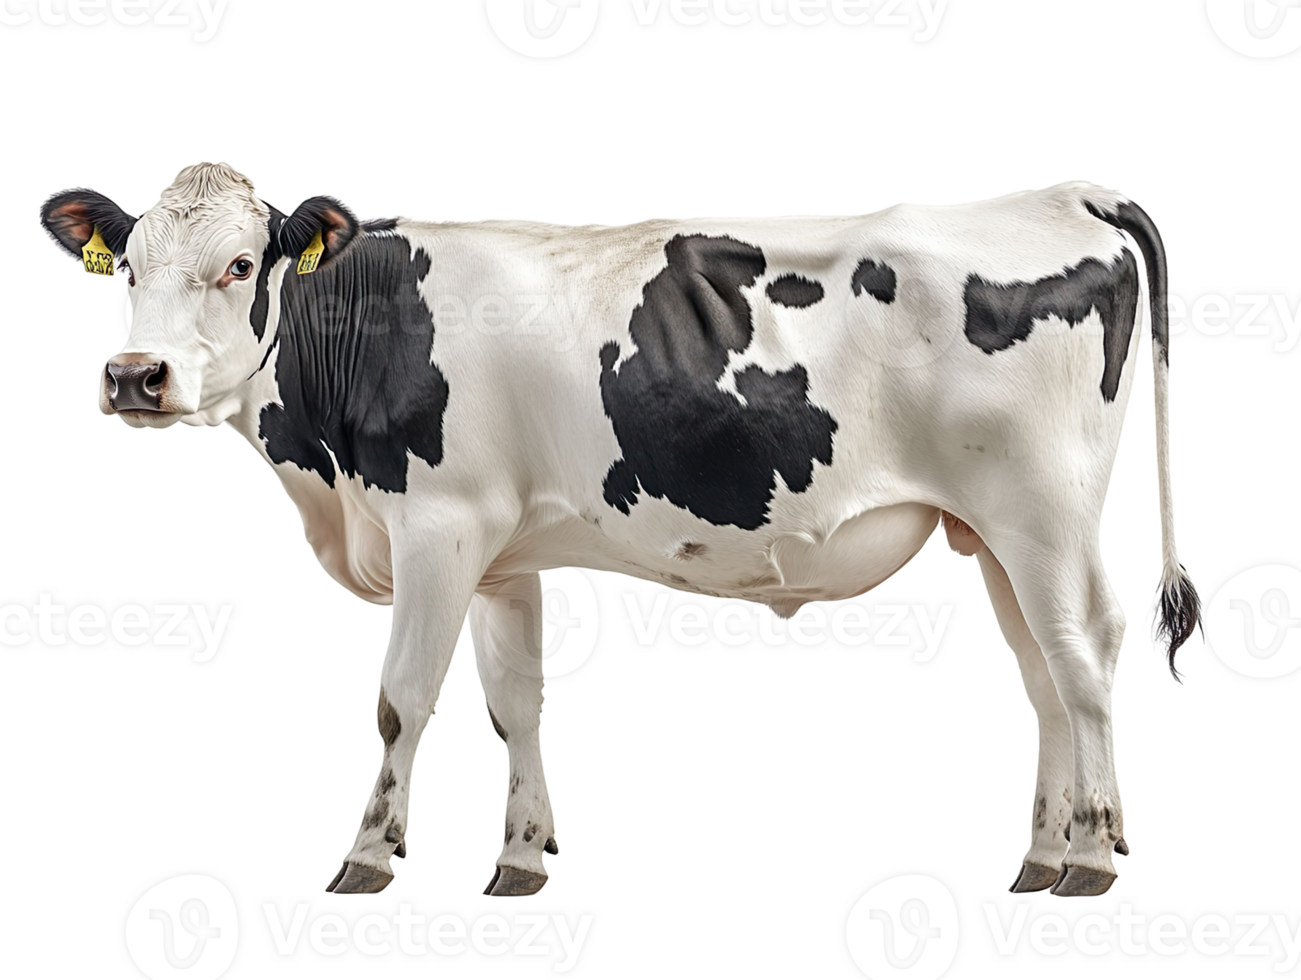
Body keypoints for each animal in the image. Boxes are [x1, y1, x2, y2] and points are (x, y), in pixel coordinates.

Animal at [37, 163, 1203, 898]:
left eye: (241, 267)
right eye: (128, 271)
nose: (135, 376)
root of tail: (1062, 195)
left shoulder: (437, 525)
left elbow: (399, 698)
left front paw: (366, 859)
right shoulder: (499, 552)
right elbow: (514, 704)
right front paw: (517, 859)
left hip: (1043, 505)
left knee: (1087, 648)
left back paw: (1091, 856)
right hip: (988, 530)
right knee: (1040, 672)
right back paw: (1041, 855)